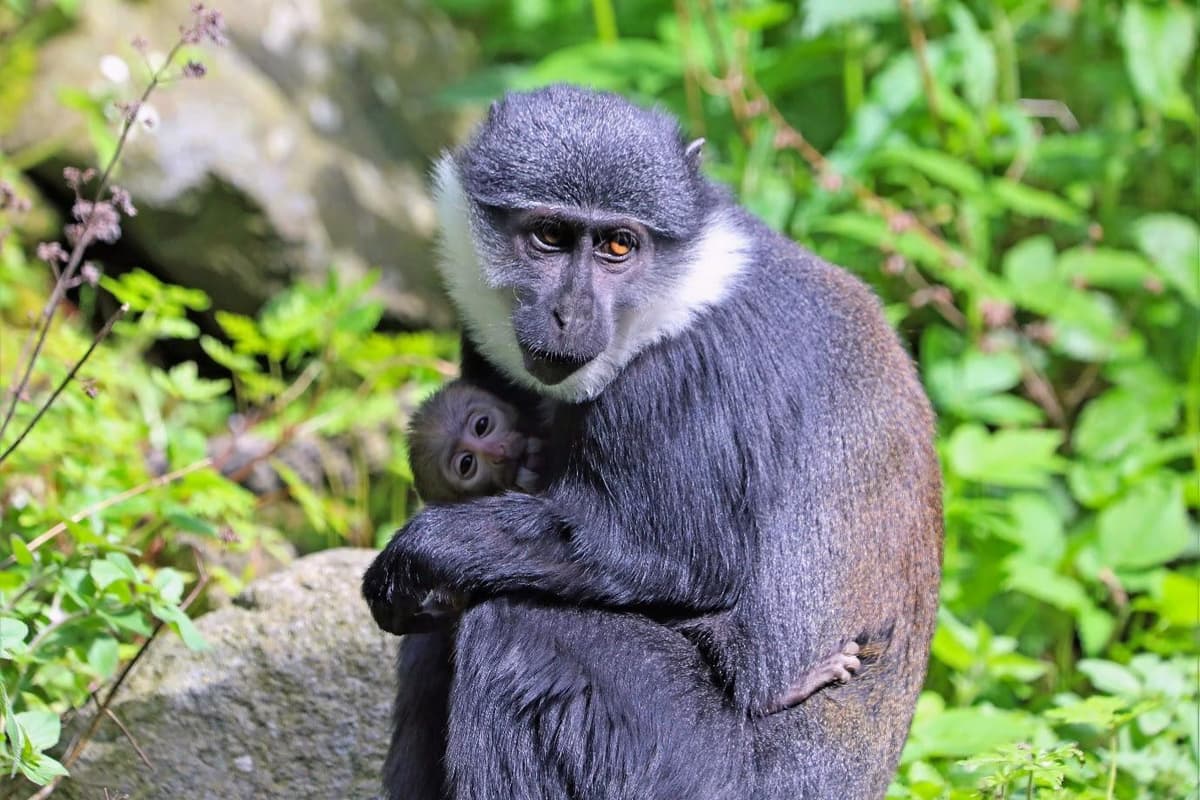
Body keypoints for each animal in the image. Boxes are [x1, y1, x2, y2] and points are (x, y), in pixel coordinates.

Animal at [363, 85, 942, 800]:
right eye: (549, 235)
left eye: (618, 245)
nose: (569, 314)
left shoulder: (684, 374)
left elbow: (678, 559)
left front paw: (420, 550)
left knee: (519, 620)